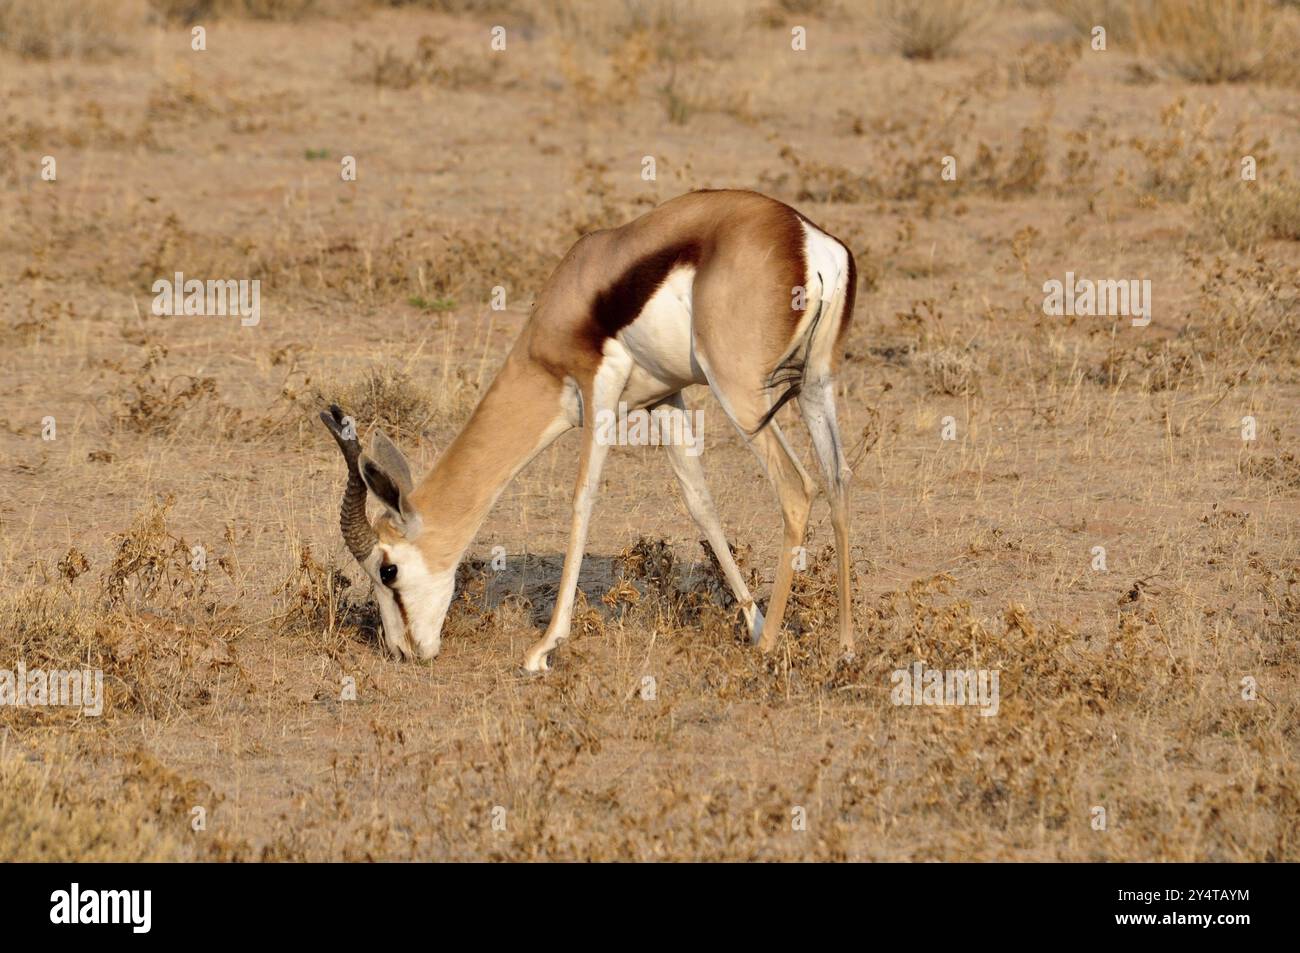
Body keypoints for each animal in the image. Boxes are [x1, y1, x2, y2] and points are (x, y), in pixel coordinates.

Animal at [321, 189, 857, 673]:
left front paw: (543, 649)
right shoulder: (665, 399)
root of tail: (806, 237)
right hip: (817, 384)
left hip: (740, 391)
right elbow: (700, 504)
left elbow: (582, 500)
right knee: (837, 481)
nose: (403, 650)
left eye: (387, 570)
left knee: (797, 486)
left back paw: (767, 650)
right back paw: (844, 648)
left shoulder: (598, 389)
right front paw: (753, 620)